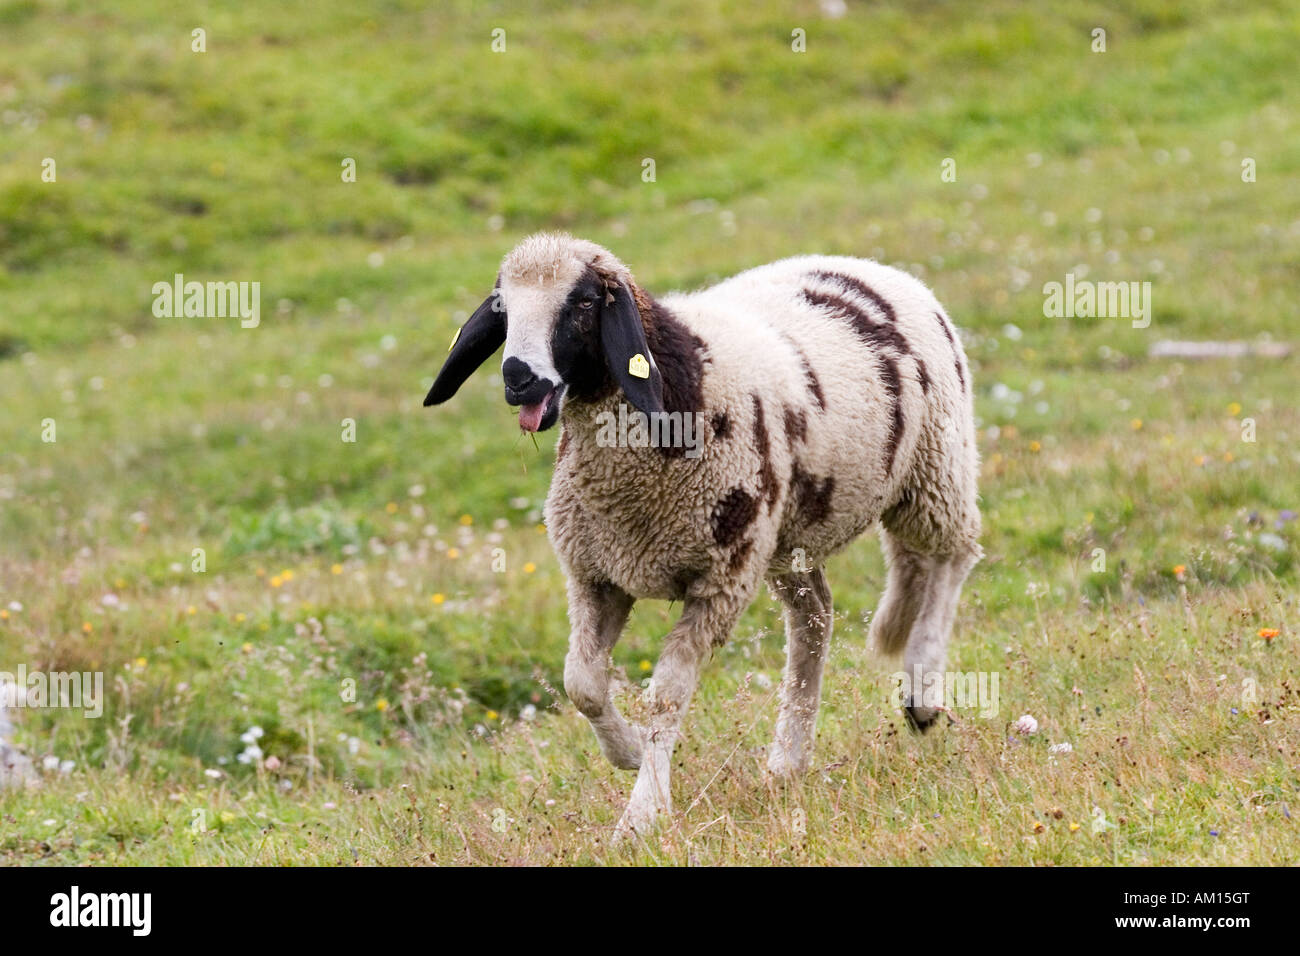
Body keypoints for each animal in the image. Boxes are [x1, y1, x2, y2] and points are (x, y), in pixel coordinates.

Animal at [424, 232, 981, 836]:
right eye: (503, 308)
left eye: (584, 303)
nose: (518, 378)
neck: (684, 380)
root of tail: (869, 266)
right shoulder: (600, 574)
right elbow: (582, 684)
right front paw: (627, 751)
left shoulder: (719, 582)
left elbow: (667, 696)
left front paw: (642, 815)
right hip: (787, 537)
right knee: (816, 617)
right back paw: (788, 760)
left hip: (934, 467)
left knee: (953, 557)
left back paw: (921, 692)